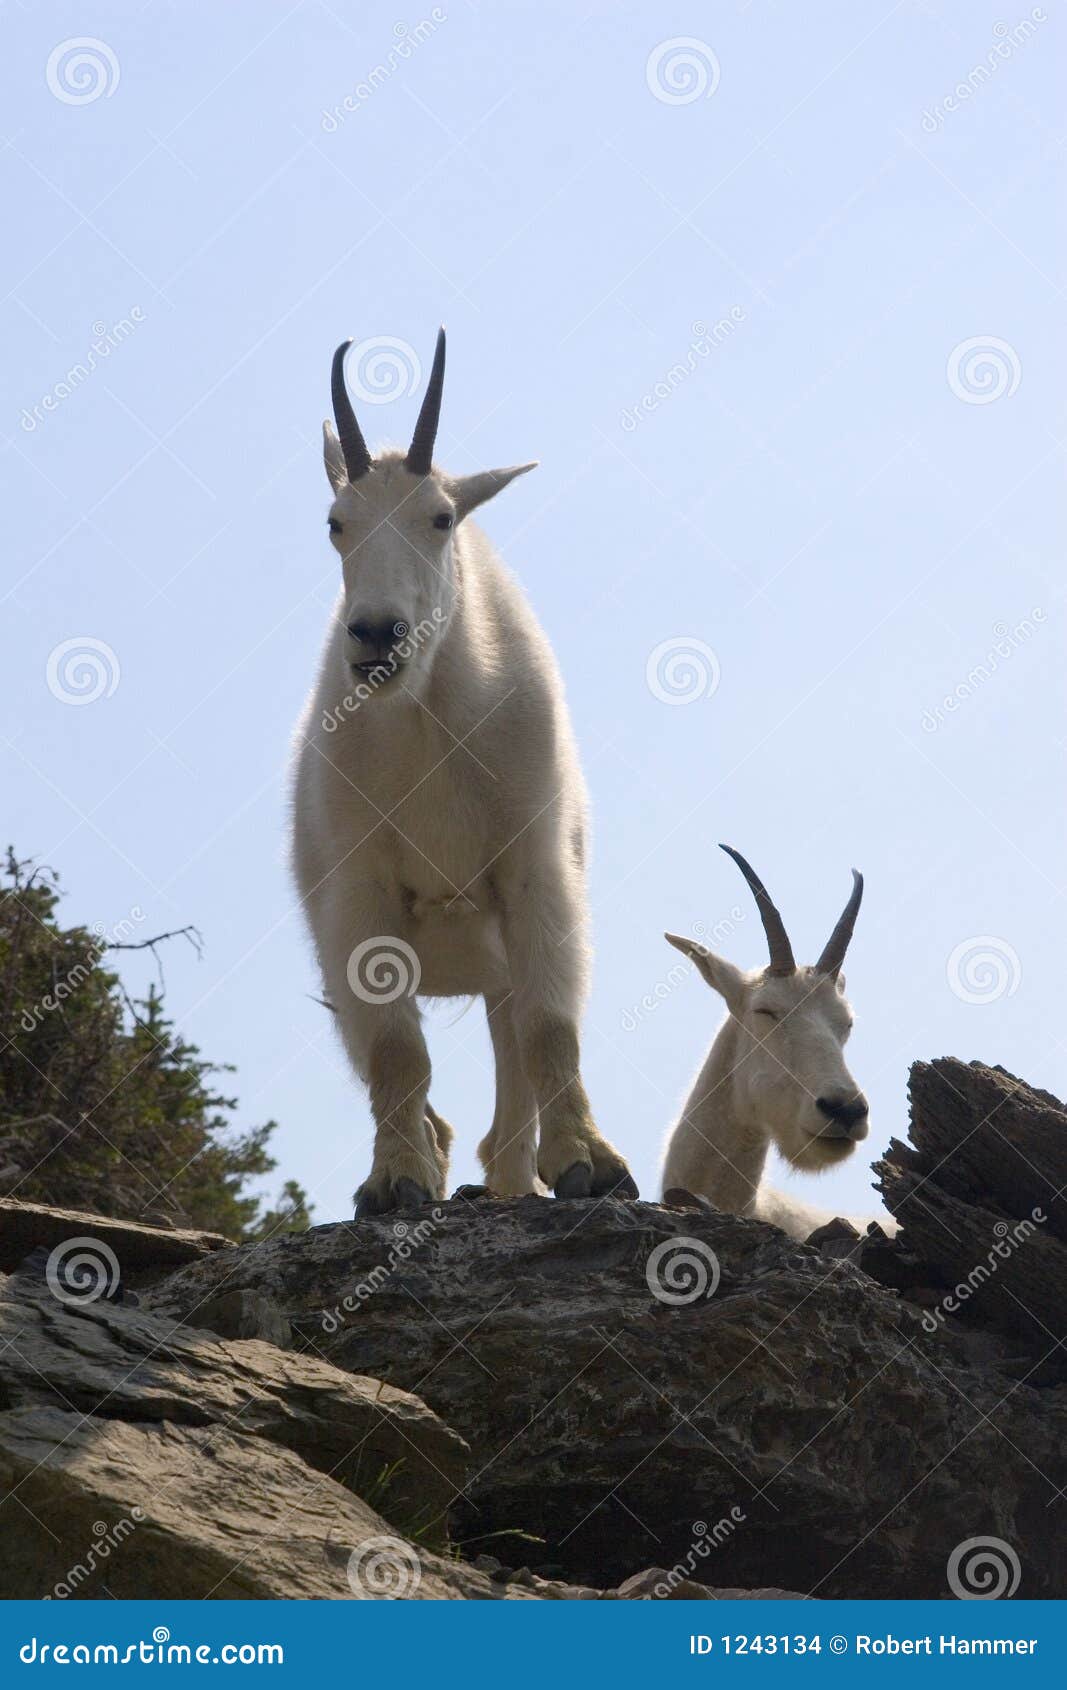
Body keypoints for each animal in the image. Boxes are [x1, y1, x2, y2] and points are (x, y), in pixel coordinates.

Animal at [291, 328, 638, 1216]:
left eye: (441, 517)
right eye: (336, 522)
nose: (376, 635)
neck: (427, 721)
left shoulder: (532, 870)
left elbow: (551, 1029)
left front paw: (592, 1165)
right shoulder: (361, 900)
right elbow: (397, 1054)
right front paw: (394, 1184)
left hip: (498, 964)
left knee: (510, 1081)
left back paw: (518, 1183)